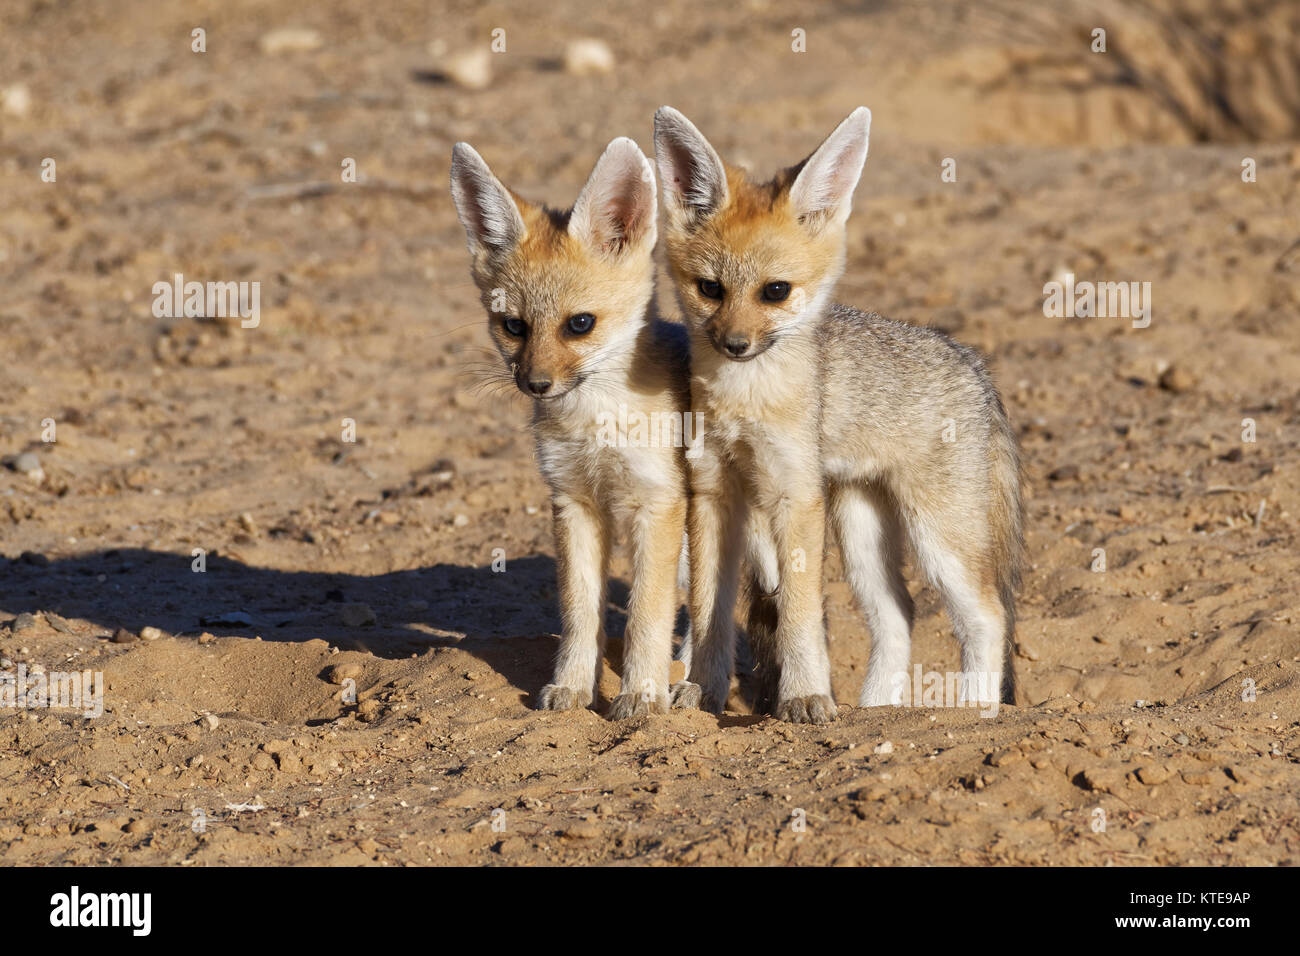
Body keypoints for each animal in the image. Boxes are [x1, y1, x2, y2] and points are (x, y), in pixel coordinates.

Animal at [449, 136, 691, 718]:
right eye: (514, 326)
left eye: (580, 324)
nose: (535, 384)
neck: (594, 428)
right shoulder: (573, 501)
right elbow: (580, 613)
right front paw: (574, 688)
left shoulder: (658, 505)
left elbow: (648, 615)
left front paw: (641, 694)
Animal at [655, 106, 1023, 723]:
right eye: (710, 289)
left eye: (775, 291)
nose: (734, 344)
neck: (743, 400)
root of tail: (973, 362)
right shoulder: (713, 494)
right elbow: (709, 607)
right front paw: (700, 688)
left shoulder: (796, 497)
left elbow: (800, 612)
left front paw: (804, 695)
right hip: (861, 529)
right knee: (899, 616)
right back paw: (875, 709)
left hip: (937, 537)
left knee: (986, 616)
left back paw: (974, 710)